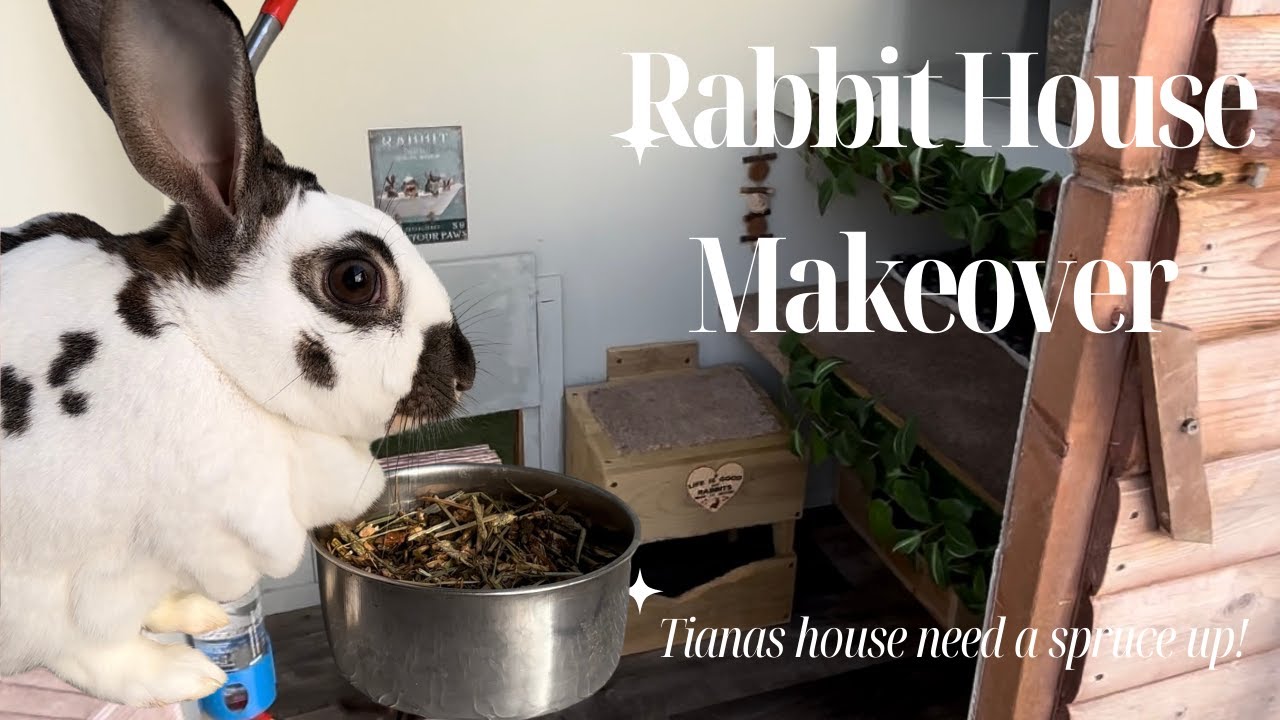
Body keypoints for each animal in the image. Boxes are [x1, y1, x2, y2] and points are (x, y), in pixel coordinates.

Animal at [0, 0, 476, 707]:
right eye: (355, 278)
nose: (466, 371)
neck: (205, 351)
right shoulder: (62, 583)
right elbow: (88, 650)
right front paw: (185, 674)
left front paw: (195, 614)